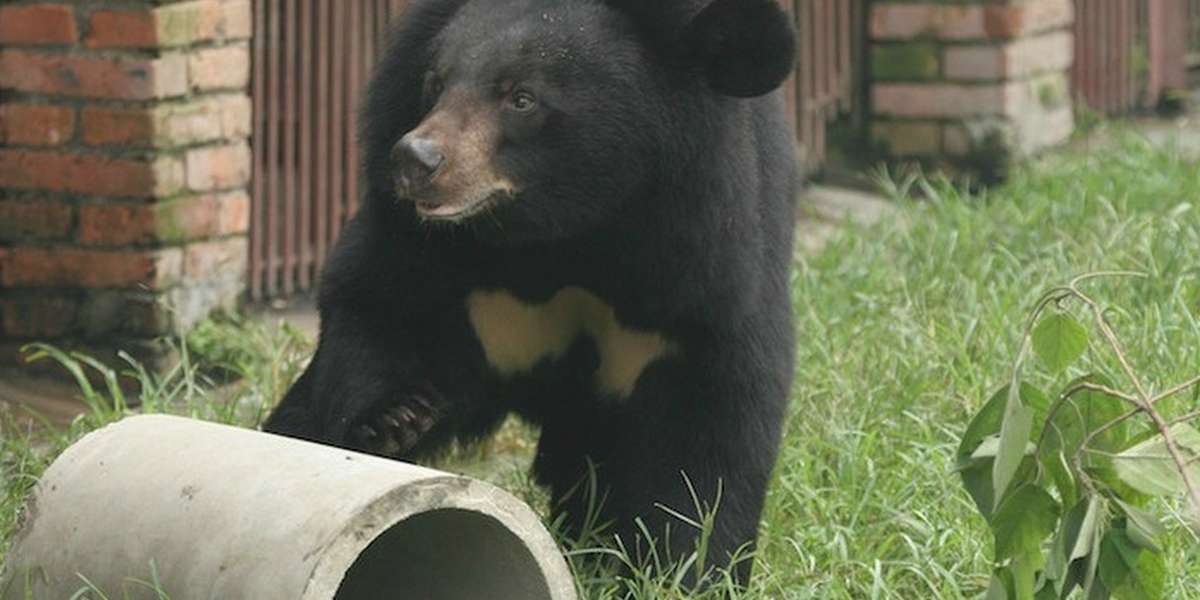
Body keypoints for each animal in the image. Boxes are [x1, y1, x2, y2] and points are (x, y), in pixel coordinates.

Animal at [263, 0, 798, 584]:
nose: (416, 160)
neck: (560, 235)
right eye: (435, 81)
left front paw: (683, 569)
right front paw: (393, 421)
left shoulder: (701, 278)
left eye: (522, 98)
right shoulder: (424, 253)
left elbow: (707, 429)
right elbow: (377, 313)